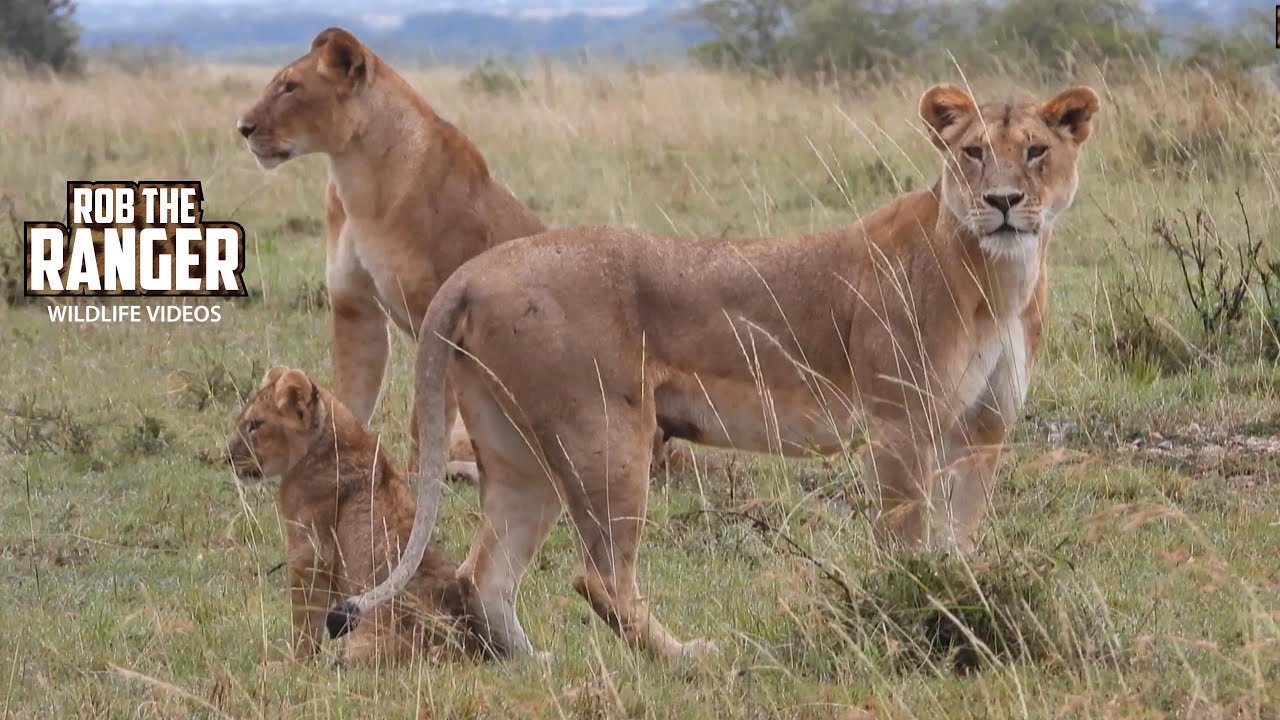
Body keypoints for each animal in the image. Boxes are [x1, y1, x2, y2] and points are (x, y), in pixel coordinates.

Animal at [235, 28, 546, 472]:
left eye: (291, 87)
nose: (242, 127)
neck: (358, 178)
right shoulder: (354, 308)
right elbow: (352, 395)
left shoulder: (443, 324)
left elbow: (425, 423)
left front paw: (419, 478)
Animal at [324, 84, 1102, 661]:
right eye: (972, 154)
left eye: (1035, 152)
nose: (1003, 202)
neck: (998, 277)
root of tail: (475, 271)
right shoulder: (900, 423)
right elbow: (908, 541)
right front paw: (911, 607)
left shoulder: (982, 429)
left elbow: (959, 539)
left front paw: (962, 597)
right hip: (604, 434)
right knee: (598, 577)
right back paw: (688, 657)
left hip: (520, 454)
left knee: (484, 573)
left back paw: (532, 663)